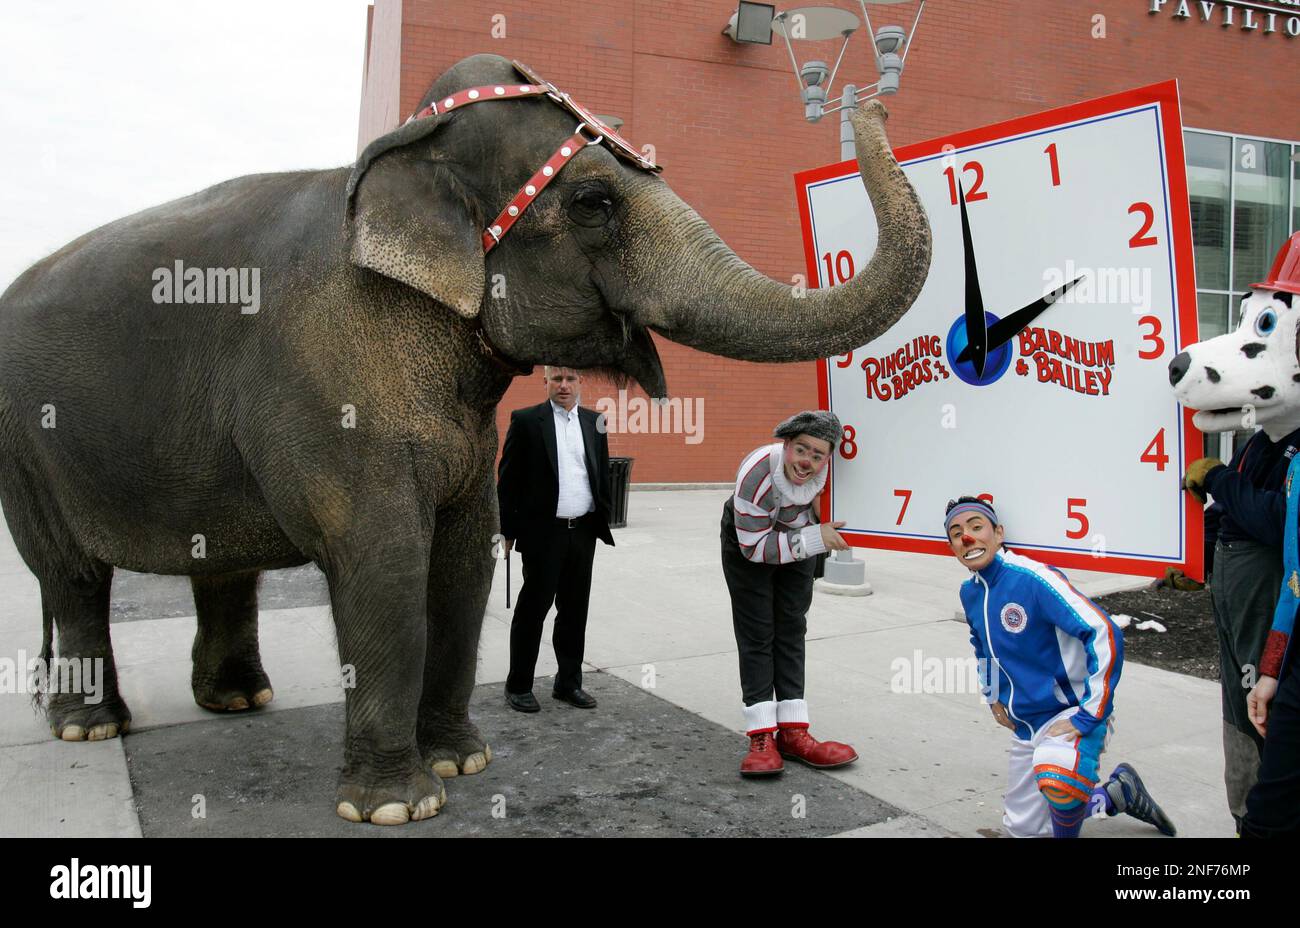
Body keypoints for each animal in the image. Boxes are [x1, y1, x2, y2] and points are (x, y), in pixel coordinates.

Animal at [0, 53, 931, 825]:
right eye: (594, 203)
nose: (874, 102)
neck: (403, 154)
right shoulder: (333, 386)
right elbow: (385, 564)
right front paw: (397, 805)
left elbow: (466, 557)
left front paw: (463, 763)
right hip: (24, 447)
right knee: (70, 576)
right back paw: (90, 727)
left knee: (218, 566)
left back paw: (236, 701)